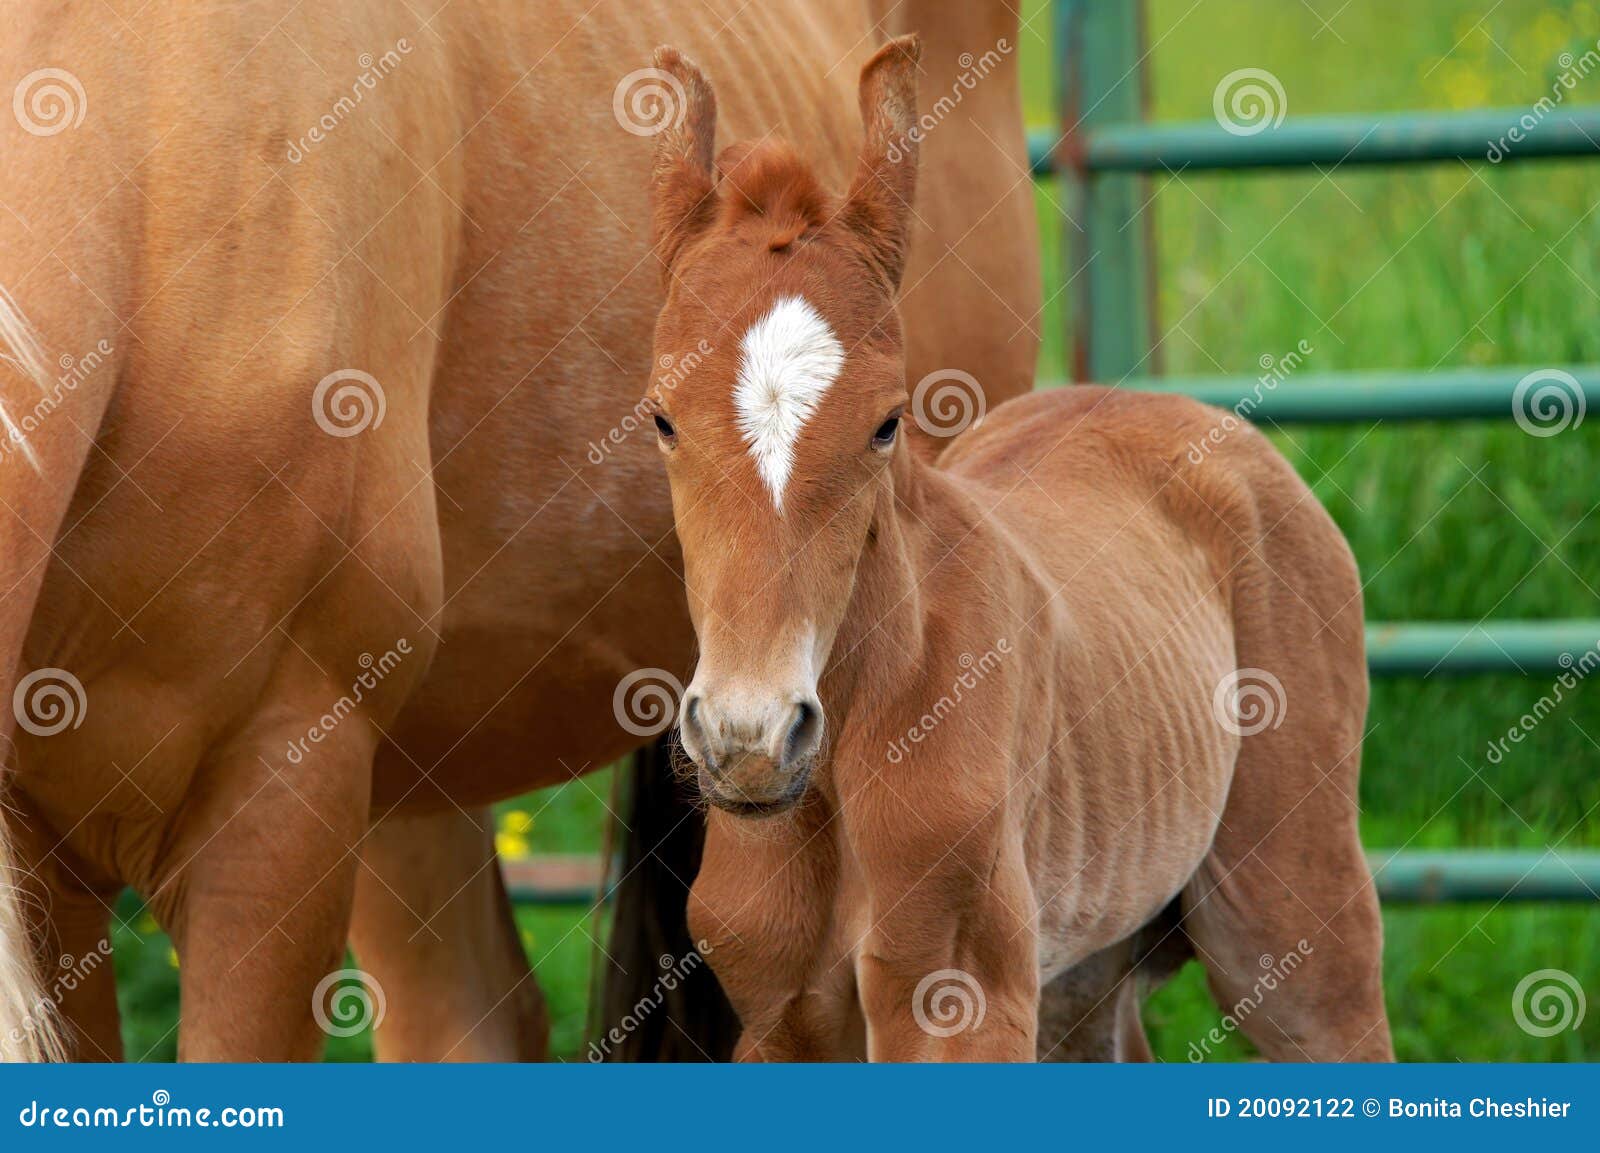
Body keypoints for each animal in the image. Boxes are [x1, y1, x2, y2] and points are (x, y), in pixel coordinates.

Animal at [640, 39, 1394, 1061]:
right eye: (660, 417)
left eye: (887, 423)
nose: (749, 739)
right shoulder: (777, 1020)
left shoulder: (962, 996)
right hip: (1088, 968)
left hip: (1292, 926)